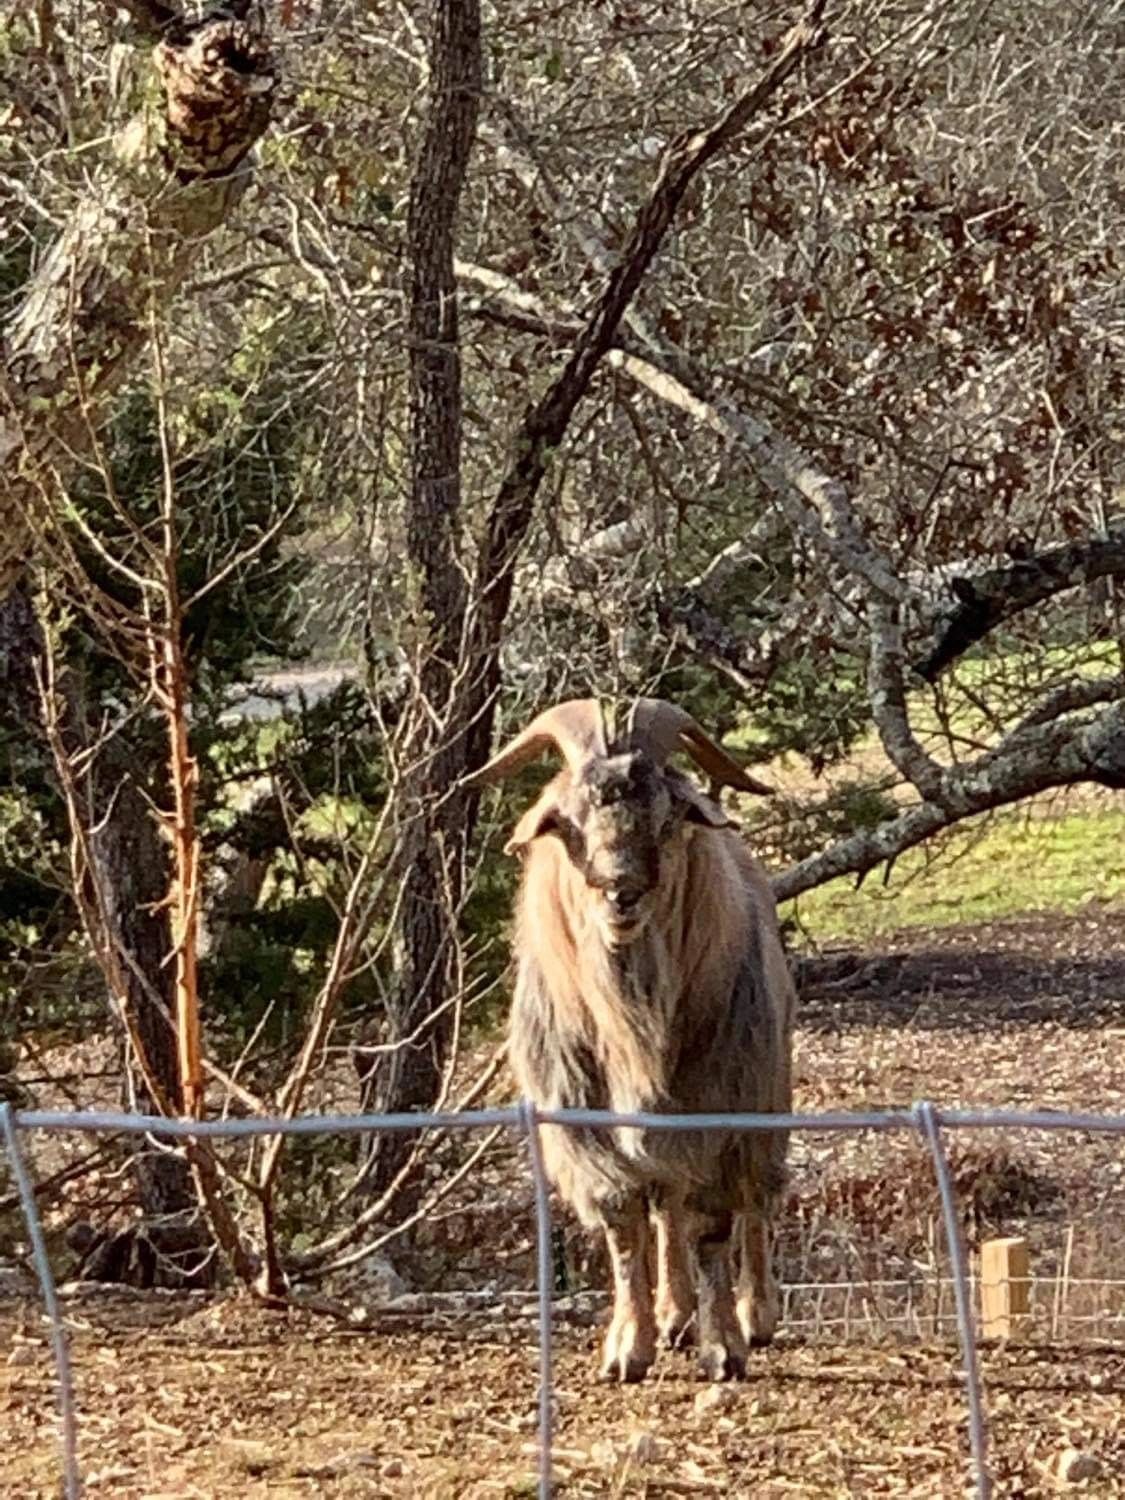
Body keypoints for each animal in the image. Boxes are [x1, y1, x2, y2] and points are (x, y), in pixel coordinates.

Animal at [466, 697, 794, 1383]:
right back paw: (673, 1315)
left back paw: (756, 1311)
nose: (621, 890)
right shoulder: (584, 1122)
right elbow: (626, 1224)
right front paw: (627, 1348)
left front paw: (724, 1348)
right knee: (665, 1202)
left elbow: (713, 1225)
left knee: (754, 1199)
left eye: (668, 819)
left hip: (768, 1092)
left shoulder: (723, 1105)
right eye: (565, 822)